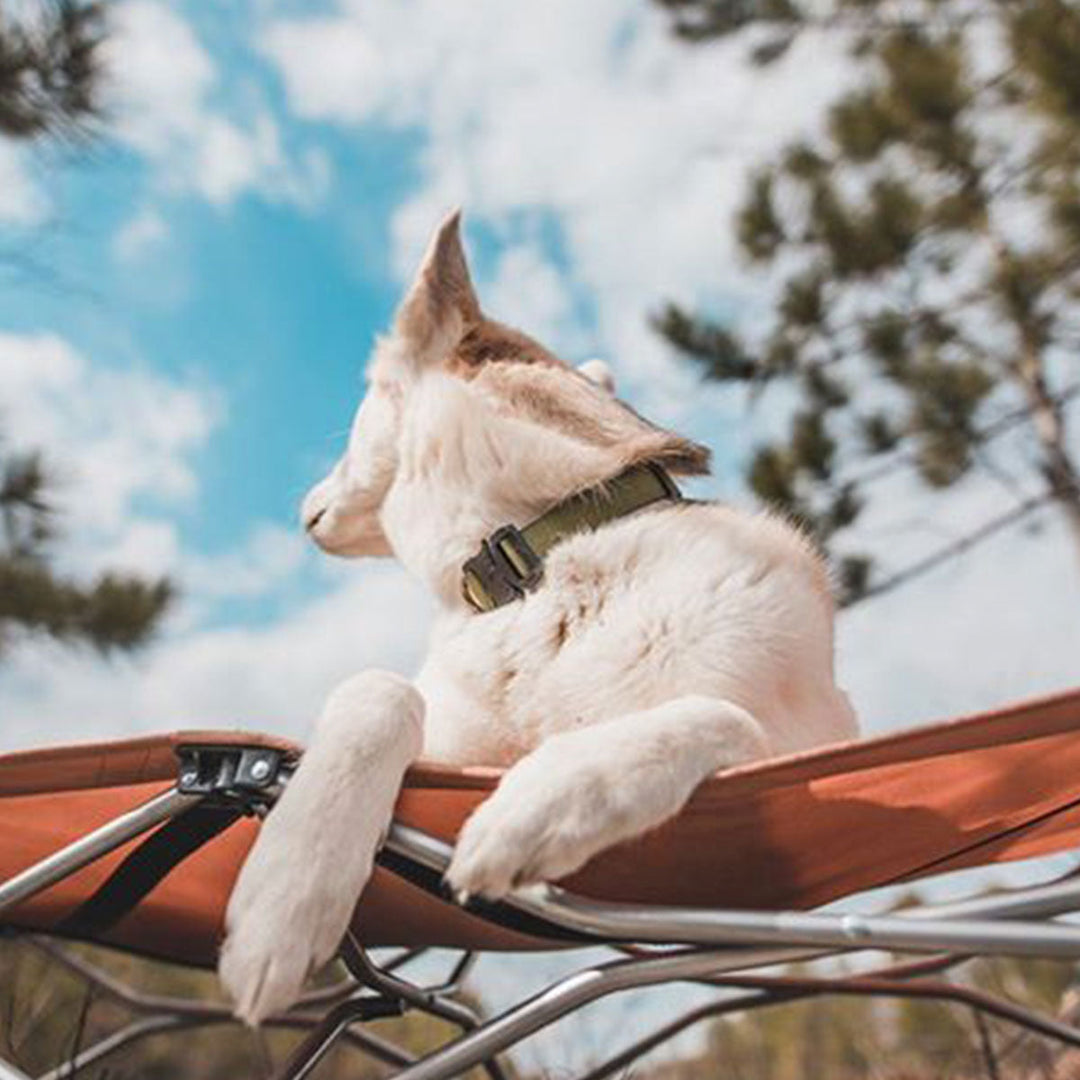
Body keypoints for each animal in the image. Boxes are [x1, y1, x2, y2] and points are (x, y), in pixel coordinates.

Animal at [219, 210, 859, 1024]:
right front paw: (286, 901)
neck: (535, 565)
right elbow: (379, 693)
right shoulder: (441, 743)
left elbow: (719, 716)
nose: (302, 504)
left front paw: (537, 806)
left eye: (363, 396)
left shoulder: (813, 742)